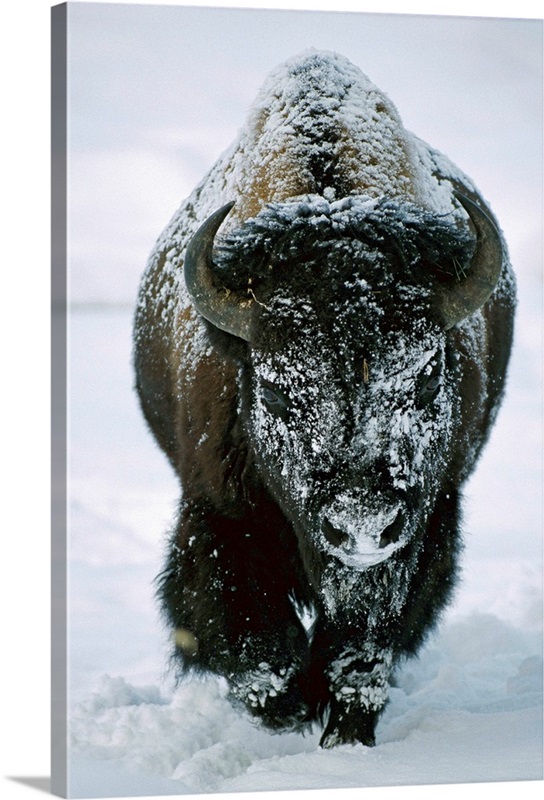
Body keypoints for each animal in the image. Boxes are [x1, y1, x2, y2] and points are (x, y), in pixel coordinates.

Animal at [133, 50, 515, 748]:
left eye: (425, 378)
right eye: (277, 392)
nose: (361, 525)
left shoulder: (423, 528)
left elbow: (360, 650)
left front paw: (343, 733)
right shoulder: (216, 516)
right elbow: (253, 644)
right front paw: (290, 711)